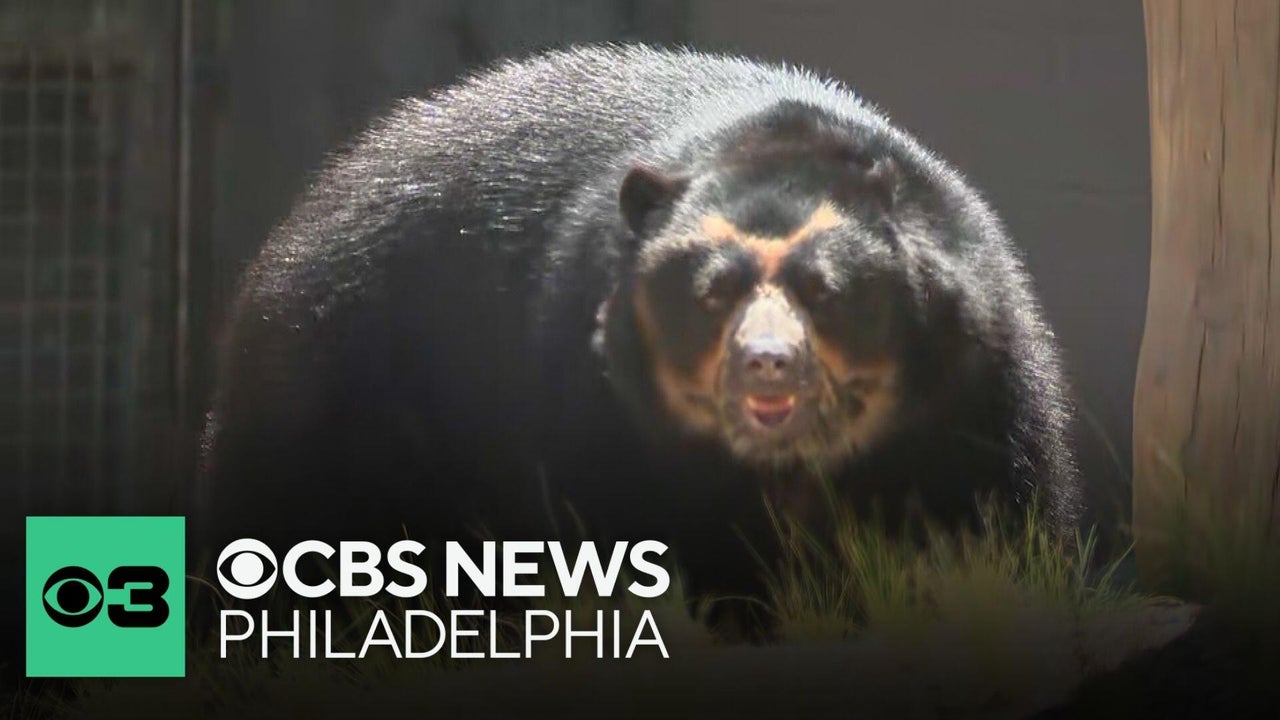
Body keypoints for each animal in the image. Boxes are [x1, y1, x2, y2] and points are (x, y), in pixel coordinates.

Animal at [198, 45, 1081, 594]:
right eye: (711, 293)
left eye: (825, 291)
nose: (767, 362)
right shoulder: (590, 396)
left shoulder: (976, 390)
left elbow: (998, 517)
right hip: (339, 393)